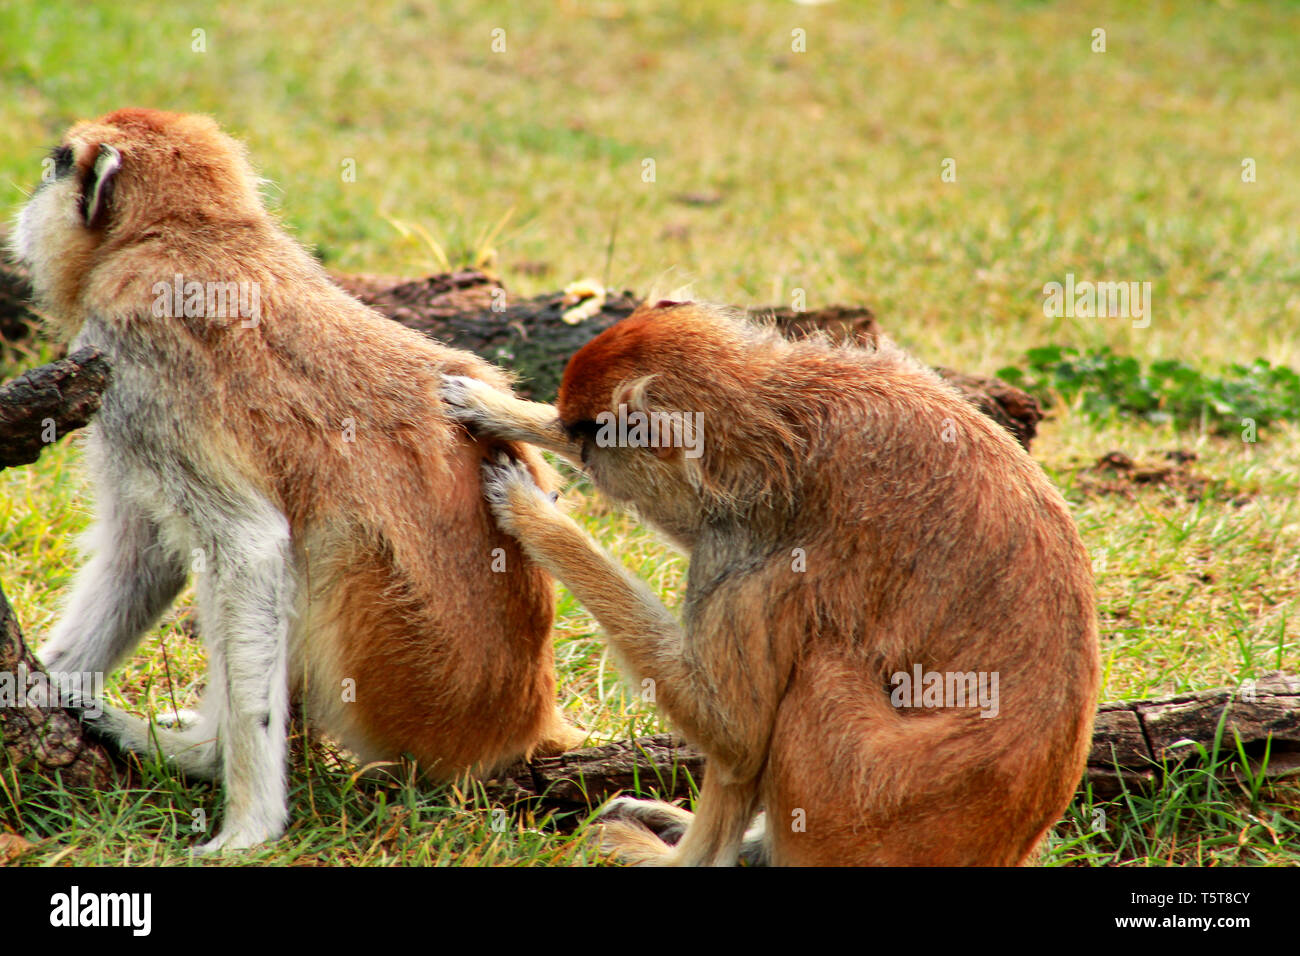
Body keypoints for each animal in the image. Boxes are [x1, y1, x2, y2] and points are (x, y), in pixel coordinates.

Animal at [9, 108, 584, 852]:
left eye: (57, 164)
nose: (27, 205)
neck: (186, 232)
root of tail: (528, 717)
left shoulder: (136, 367)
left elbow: (249, 548)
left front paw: (247, 827)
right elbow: (146, 557)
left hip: (403, 676)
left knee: (315, 548)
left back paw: (201, 754)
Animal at [440, 299, 1101, 866]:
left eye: (593, 439)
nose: (584, 454)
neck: (772, 412)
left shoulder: (768, 557)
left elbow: (732, 728)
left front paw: (535, 516)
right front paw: (489, 405)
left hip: (857, 813)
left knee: (811, 672)